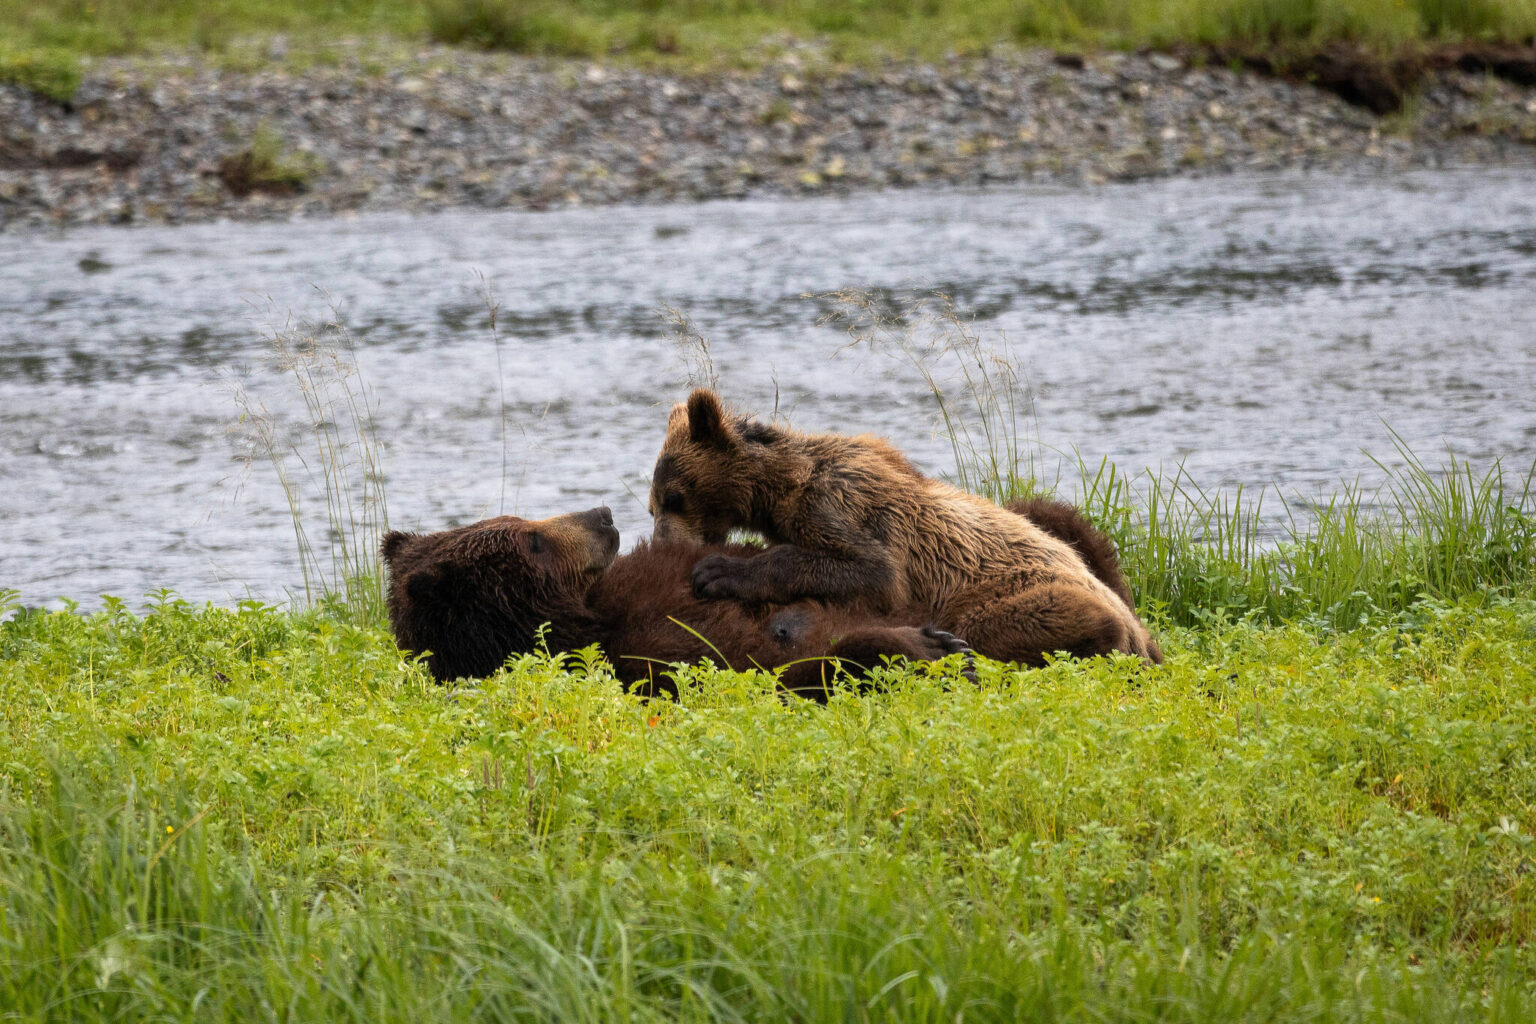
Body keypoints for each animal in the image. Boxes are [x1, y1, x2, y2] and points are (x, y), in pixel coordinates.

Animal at [379, 505, 971, 697]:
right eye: (533, 542)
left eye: (525, 521)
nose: (602, 515)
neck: (586, 615)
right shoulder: (638, 659)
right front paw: (926, 644)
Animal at [647, 390, 1163, 667]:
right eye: (653, 504)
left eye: (673, 498)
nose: (659, 547)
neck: (782, 488)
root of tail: (1136, 630)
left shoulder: (842, 505)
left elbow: (870, 570)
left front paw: (717, 571)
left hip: (1016, 591)